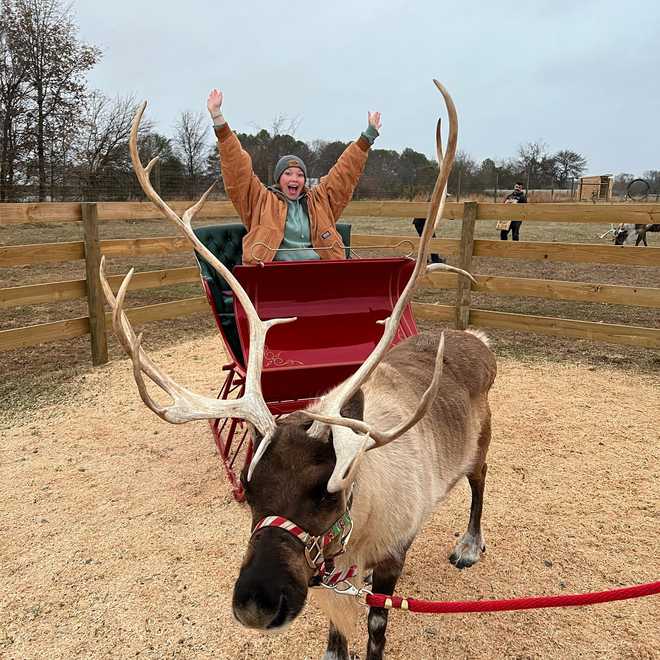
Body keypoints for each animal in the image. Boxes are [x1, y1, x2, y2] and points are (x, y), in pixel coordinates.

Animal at [99, 80, 497, 660]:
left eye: (325, 491)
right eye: (249, 489)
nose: (256, 604)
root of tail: (478, 340)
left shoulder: (389, 556)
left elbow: (375, 634)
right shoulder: (329, 582)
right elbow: (335, 639)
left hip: (480, 440)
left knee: (480, 482)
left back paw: (469, 544)